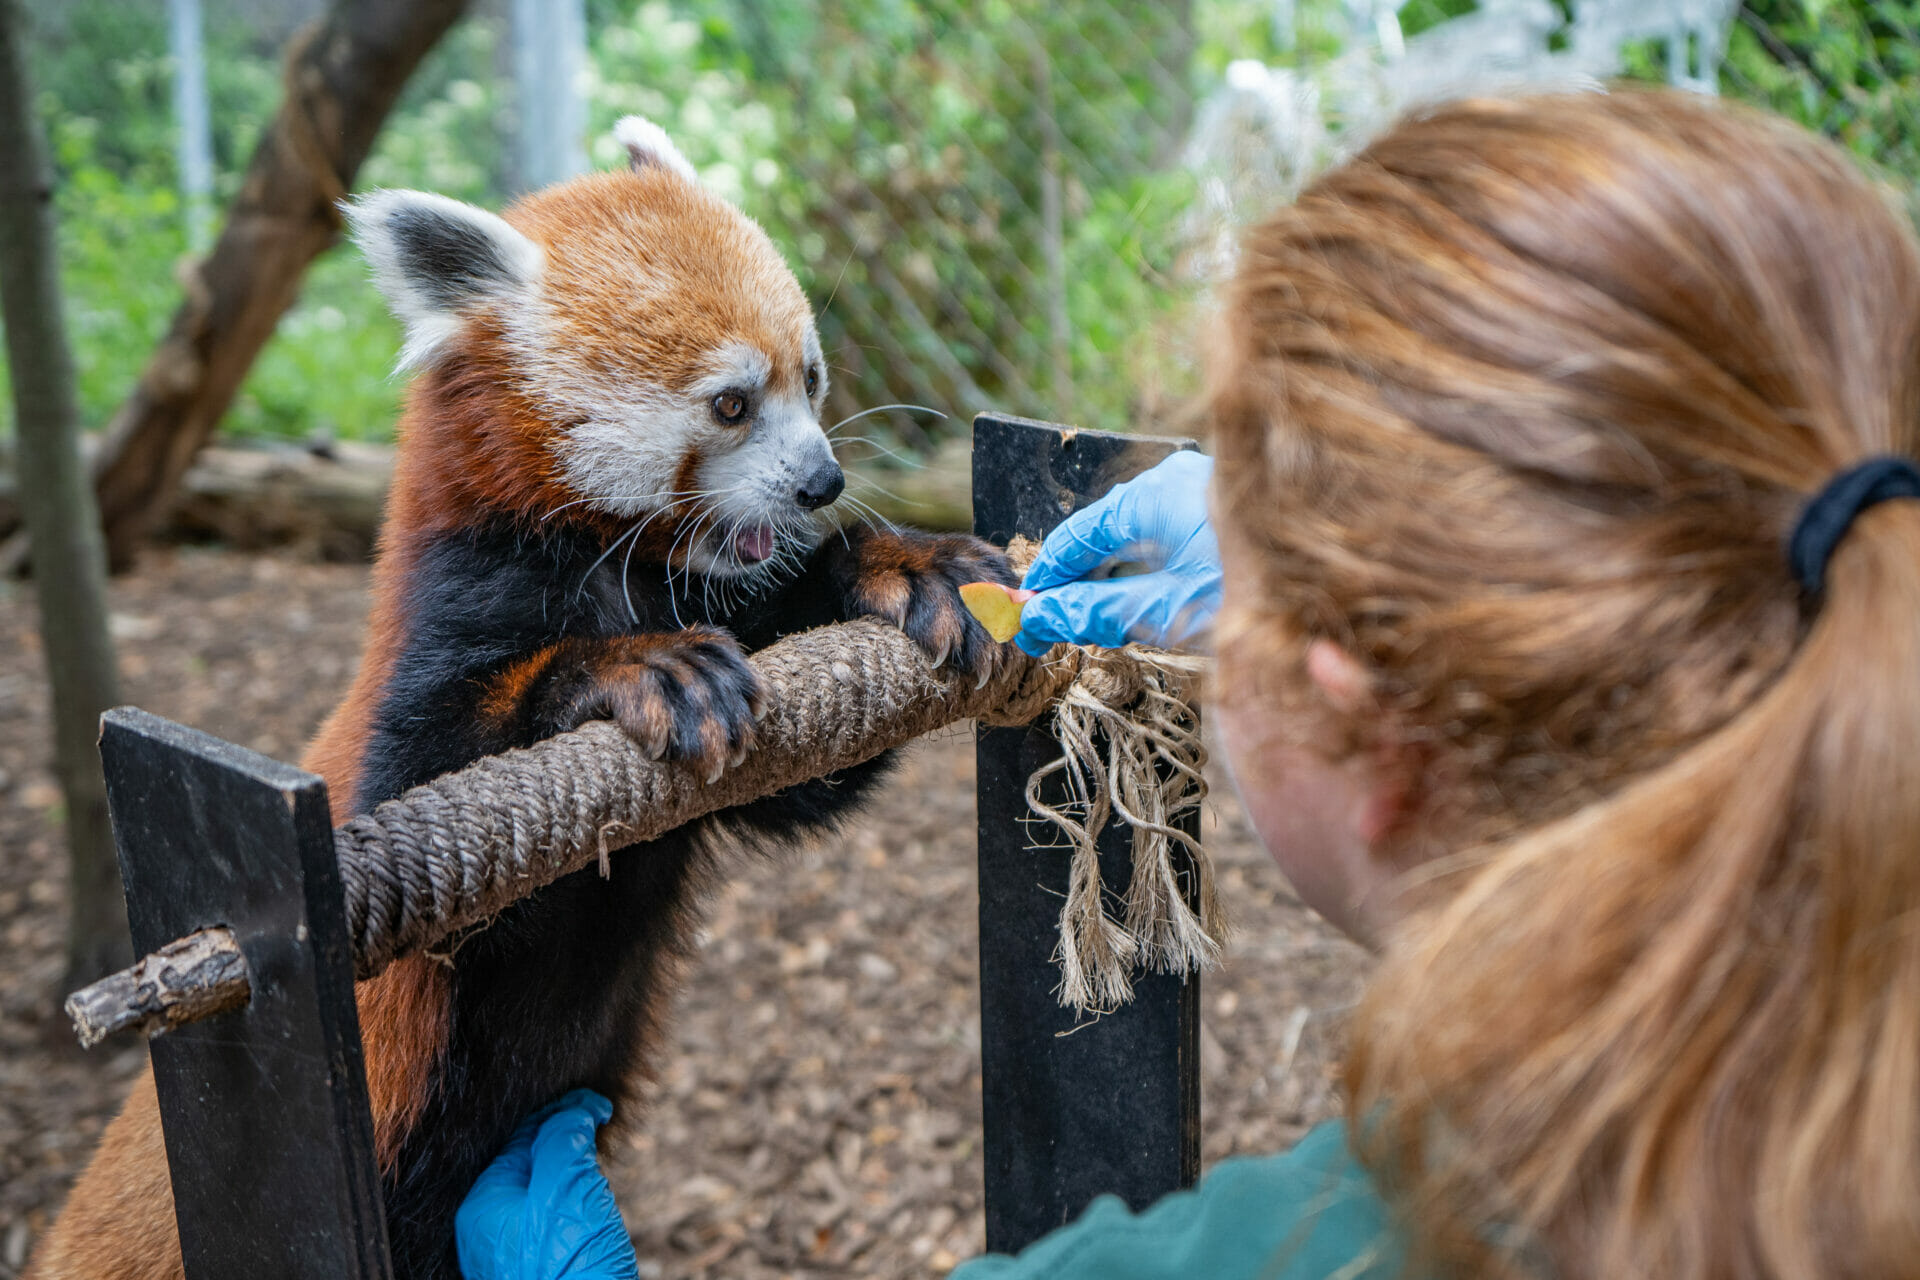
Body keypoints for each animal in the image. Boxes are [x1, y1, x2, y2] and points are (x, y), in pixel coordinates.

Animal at [30, 117, 1013, 1280]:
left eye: (810, 380)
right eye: (731, 403)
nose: (823, 481)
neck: (616, 571)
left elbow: (794, 775)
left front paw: (899, 562)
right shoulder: (450, 621)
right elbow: (440, 787)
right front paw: (629, 671)